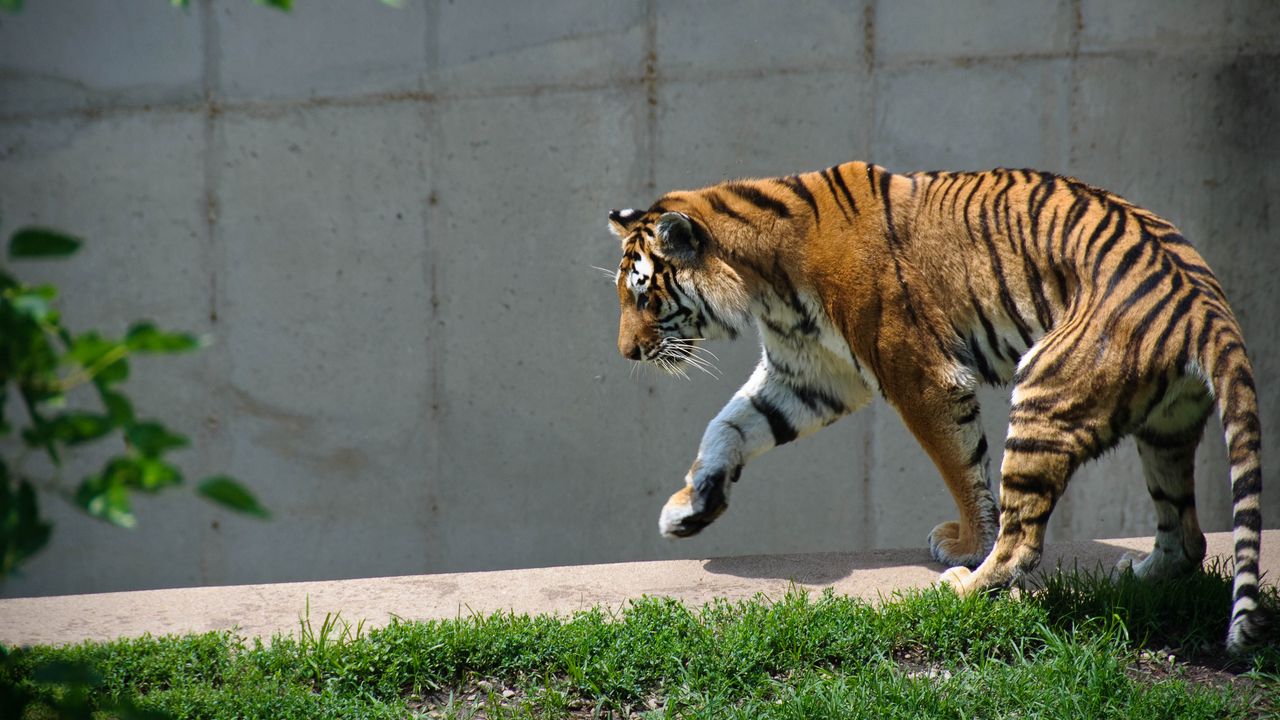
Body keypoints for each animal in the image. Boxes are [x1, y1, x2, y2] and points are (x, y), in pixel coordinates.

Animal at [605, 162, 1267, 653]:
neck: (764, 280)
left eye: (645, 297)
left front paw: (968, 540)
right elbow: (731, 426)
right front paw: (692, 506)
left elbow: (958, 464)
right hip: (1164, 430)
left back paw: (964, 588)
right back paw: (1143, 575)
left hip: (1046, 395)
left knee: (1024, 542)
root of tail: (1205, 302)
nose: (626, 353)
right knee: (1187, 536)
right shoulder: (810, 377)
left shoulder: (918, 374)